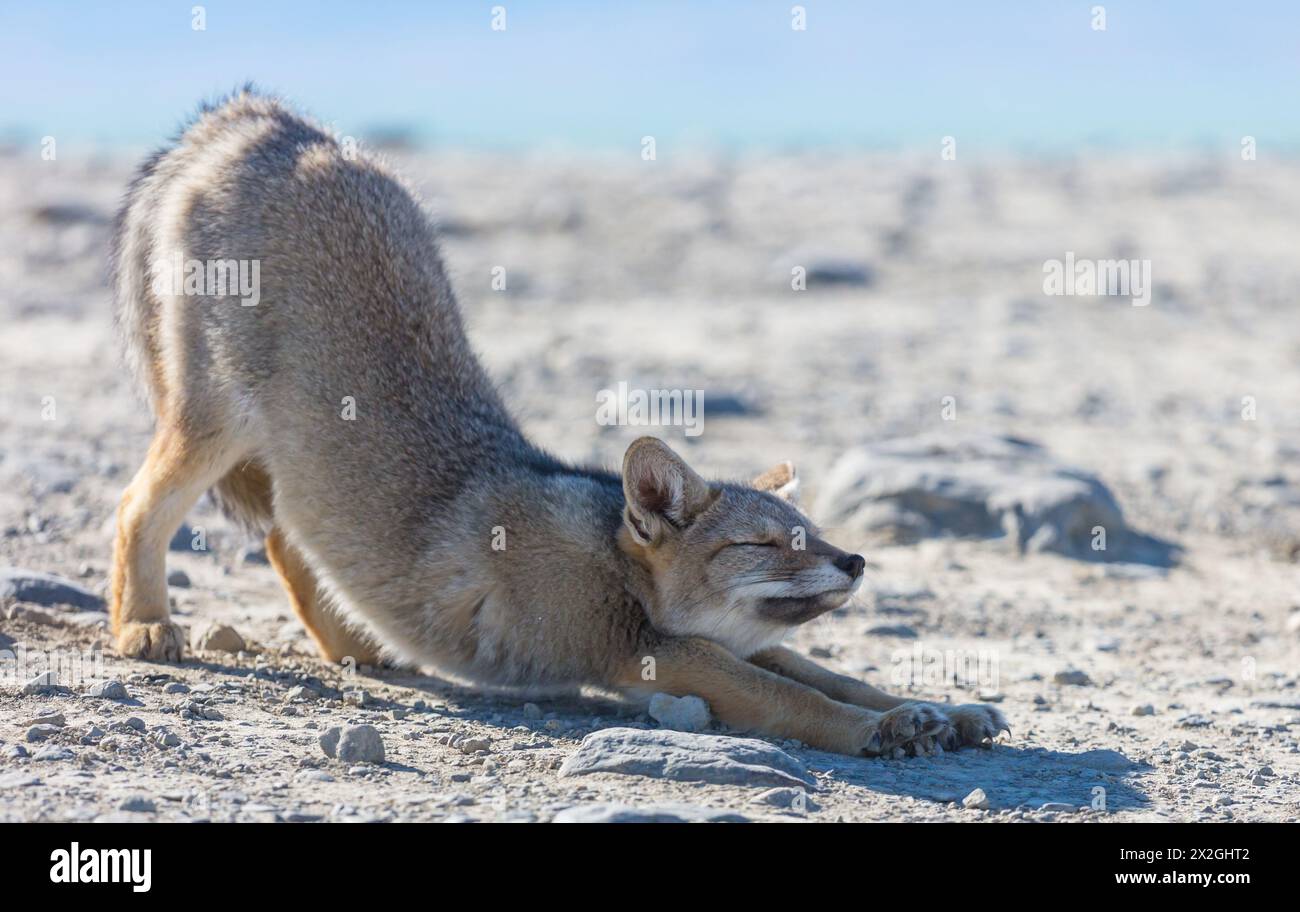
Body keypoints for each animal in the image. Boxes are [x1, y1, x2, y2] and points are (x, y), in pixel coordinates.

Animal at [109, 89, 1007, 758]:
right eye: (764, 543)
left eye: (813, 534)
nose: (855, 561)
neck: (613, 559)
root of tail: (265, 114)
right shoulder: (658, 656)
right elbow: (796, 701)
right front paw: (883, 730)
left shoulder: (729, 643)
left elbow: (832, 674)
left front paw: (943, 711)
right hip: (213, 423)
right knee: (136, 507)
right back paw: (144, 625)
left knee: (286, 538)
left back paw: (356, 646)